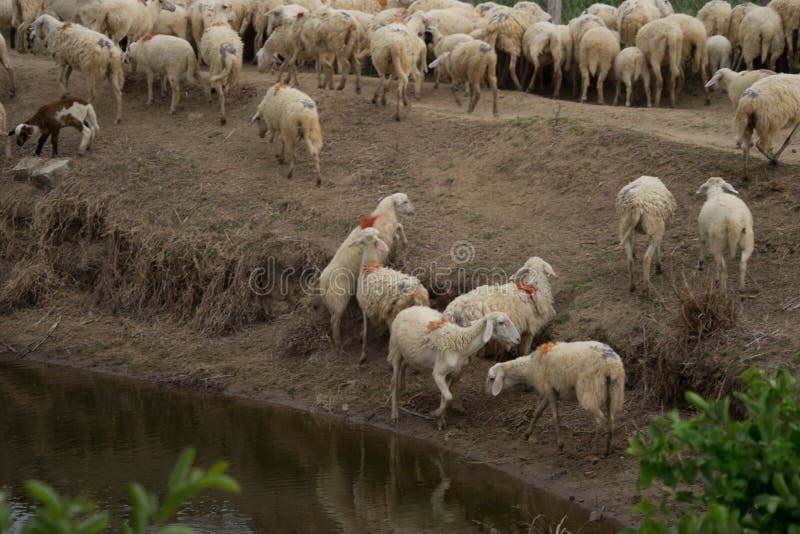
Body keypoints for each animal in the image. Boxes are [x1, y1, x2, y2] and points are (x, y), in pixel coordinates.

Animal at [318, 194, 414, 347]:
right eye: (405, 201)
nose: (413, 212)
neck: (384, 213)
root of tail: (323, 281)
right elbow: (399, 226)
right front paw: (404, 242)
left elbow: (398, 228)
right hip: (339, 299)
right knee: (335, 320)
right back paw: (339, 343)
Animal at [352, 227, 429, 364]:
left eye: (362, 240)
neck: (369, 264)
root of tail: (416, 295)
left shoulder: (363, 306)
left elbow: (365, 332)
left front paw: (362, 355)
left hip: (396, 316)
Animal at [389, 306, 520, 429]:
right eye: (501, 322)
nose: (518, 339)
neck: (461, 344)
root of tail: (408, 308)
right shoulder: (438, 373)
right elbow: (448, 396)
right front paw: (434, 414)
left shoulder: (451, 373)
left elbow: (445, 398)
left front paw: (440, 421)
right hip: (396, 349)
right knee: (393, 381)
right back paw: (395, 414)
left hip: (409, 354)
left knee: (404, 367)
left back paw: (403, 388)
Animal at [486, 341, 625, 456]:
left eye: (492, 379)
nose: (486, 393)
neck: (530, 367)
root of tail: (609, 364)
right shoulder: (548, 392)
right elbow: (537, 413)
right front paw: (526, 434)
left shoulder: (549, 390)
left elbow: (555, 417)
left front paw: (560, 446)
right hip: (614, 391)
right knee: (611, 419)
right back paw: (607, 449)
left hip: (590, 389)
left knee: (600, 419)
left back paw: (594, 451)